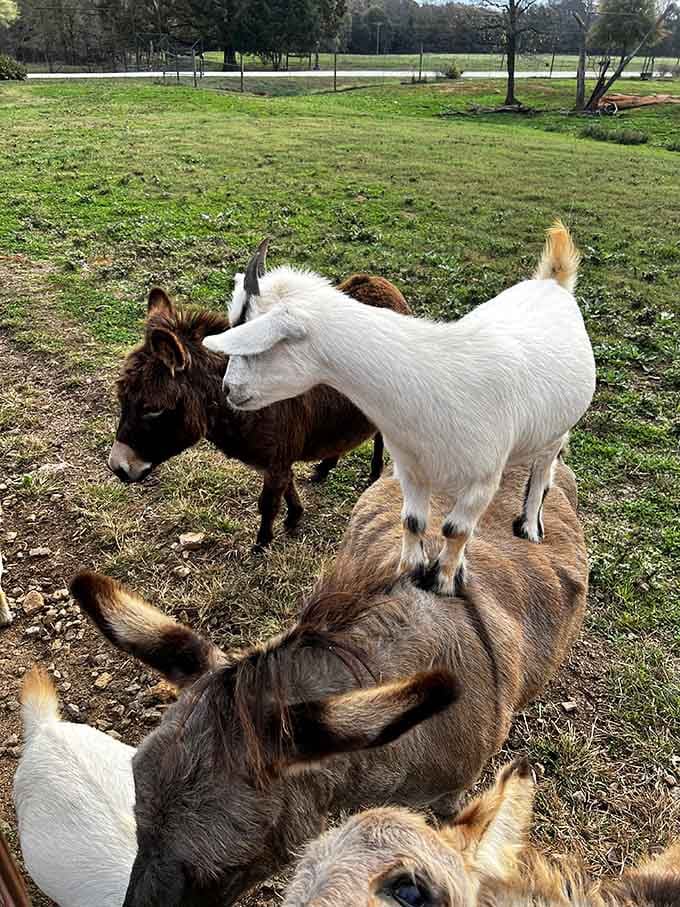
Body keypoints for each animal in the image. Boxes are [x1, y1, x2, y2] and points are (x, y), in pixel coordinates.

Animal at [109, 272, 410, 549]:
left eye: (153, 409)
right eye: (122, 398)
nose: (117, 468)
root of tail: (375, 280)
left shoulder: (278, 457)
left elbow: (268, 502)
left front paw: (262, 543)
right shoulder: (278, 459)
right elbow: (287, 486)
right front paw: (294, 517)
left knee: (381, 436)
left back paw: (373, 471)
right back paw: (326, 467)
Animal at [203, 223, 596, 594]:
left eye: (257, 339)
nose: (228, 389)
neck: (432, 382)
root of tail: (552, 281)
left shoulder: (481, 481)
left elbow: (456, 530)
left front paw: (444, 580)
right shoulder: (411, 469)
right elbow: (412, 521)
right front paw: (407, 569)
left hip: (557, 429)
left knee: (544, 469)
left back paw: (530, 525)